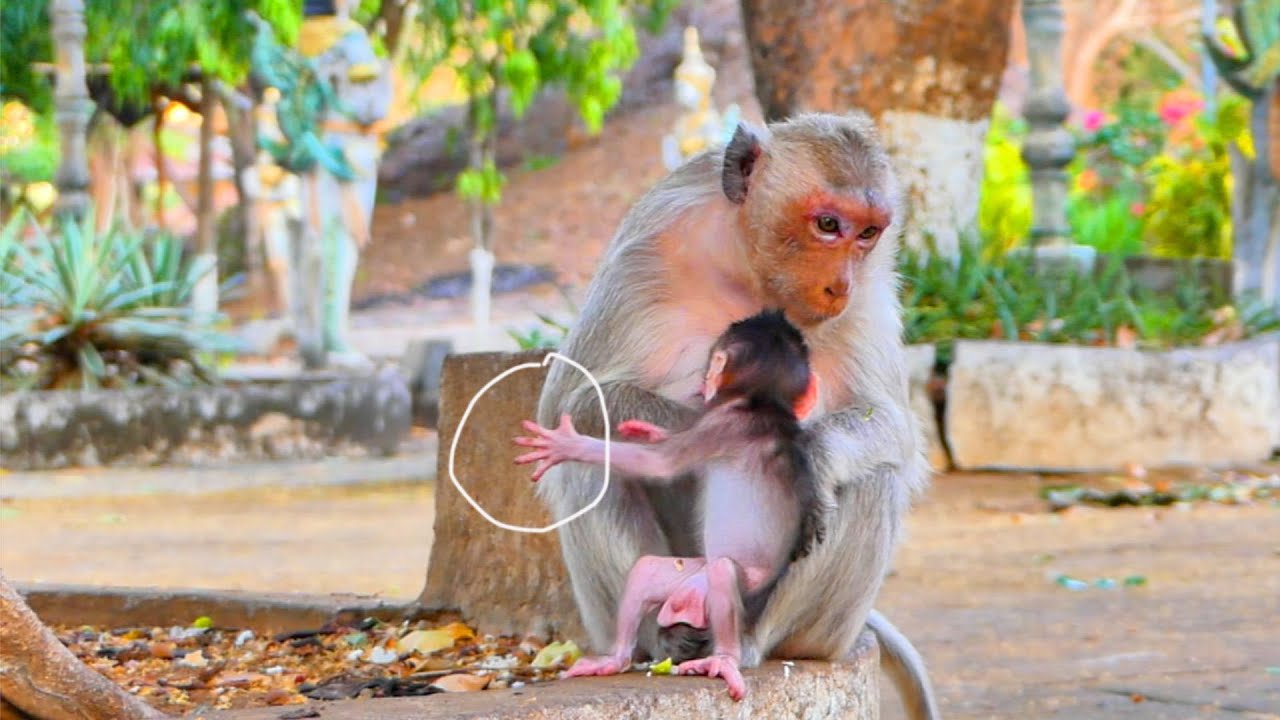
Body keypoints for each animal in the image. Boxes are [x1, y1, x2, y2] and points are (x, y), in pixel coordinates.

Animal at [514, 309, 832, 700]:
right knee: (647, 570)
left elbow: (661, 465)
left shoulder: (723, 424)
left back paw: (724, 660)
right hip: (688, 576)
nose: (703, 380)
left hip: (738, 586)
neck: (764, 402)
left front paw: (571, 445)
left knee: (723, 572)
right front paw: (649, 431)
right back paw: (616, 658)